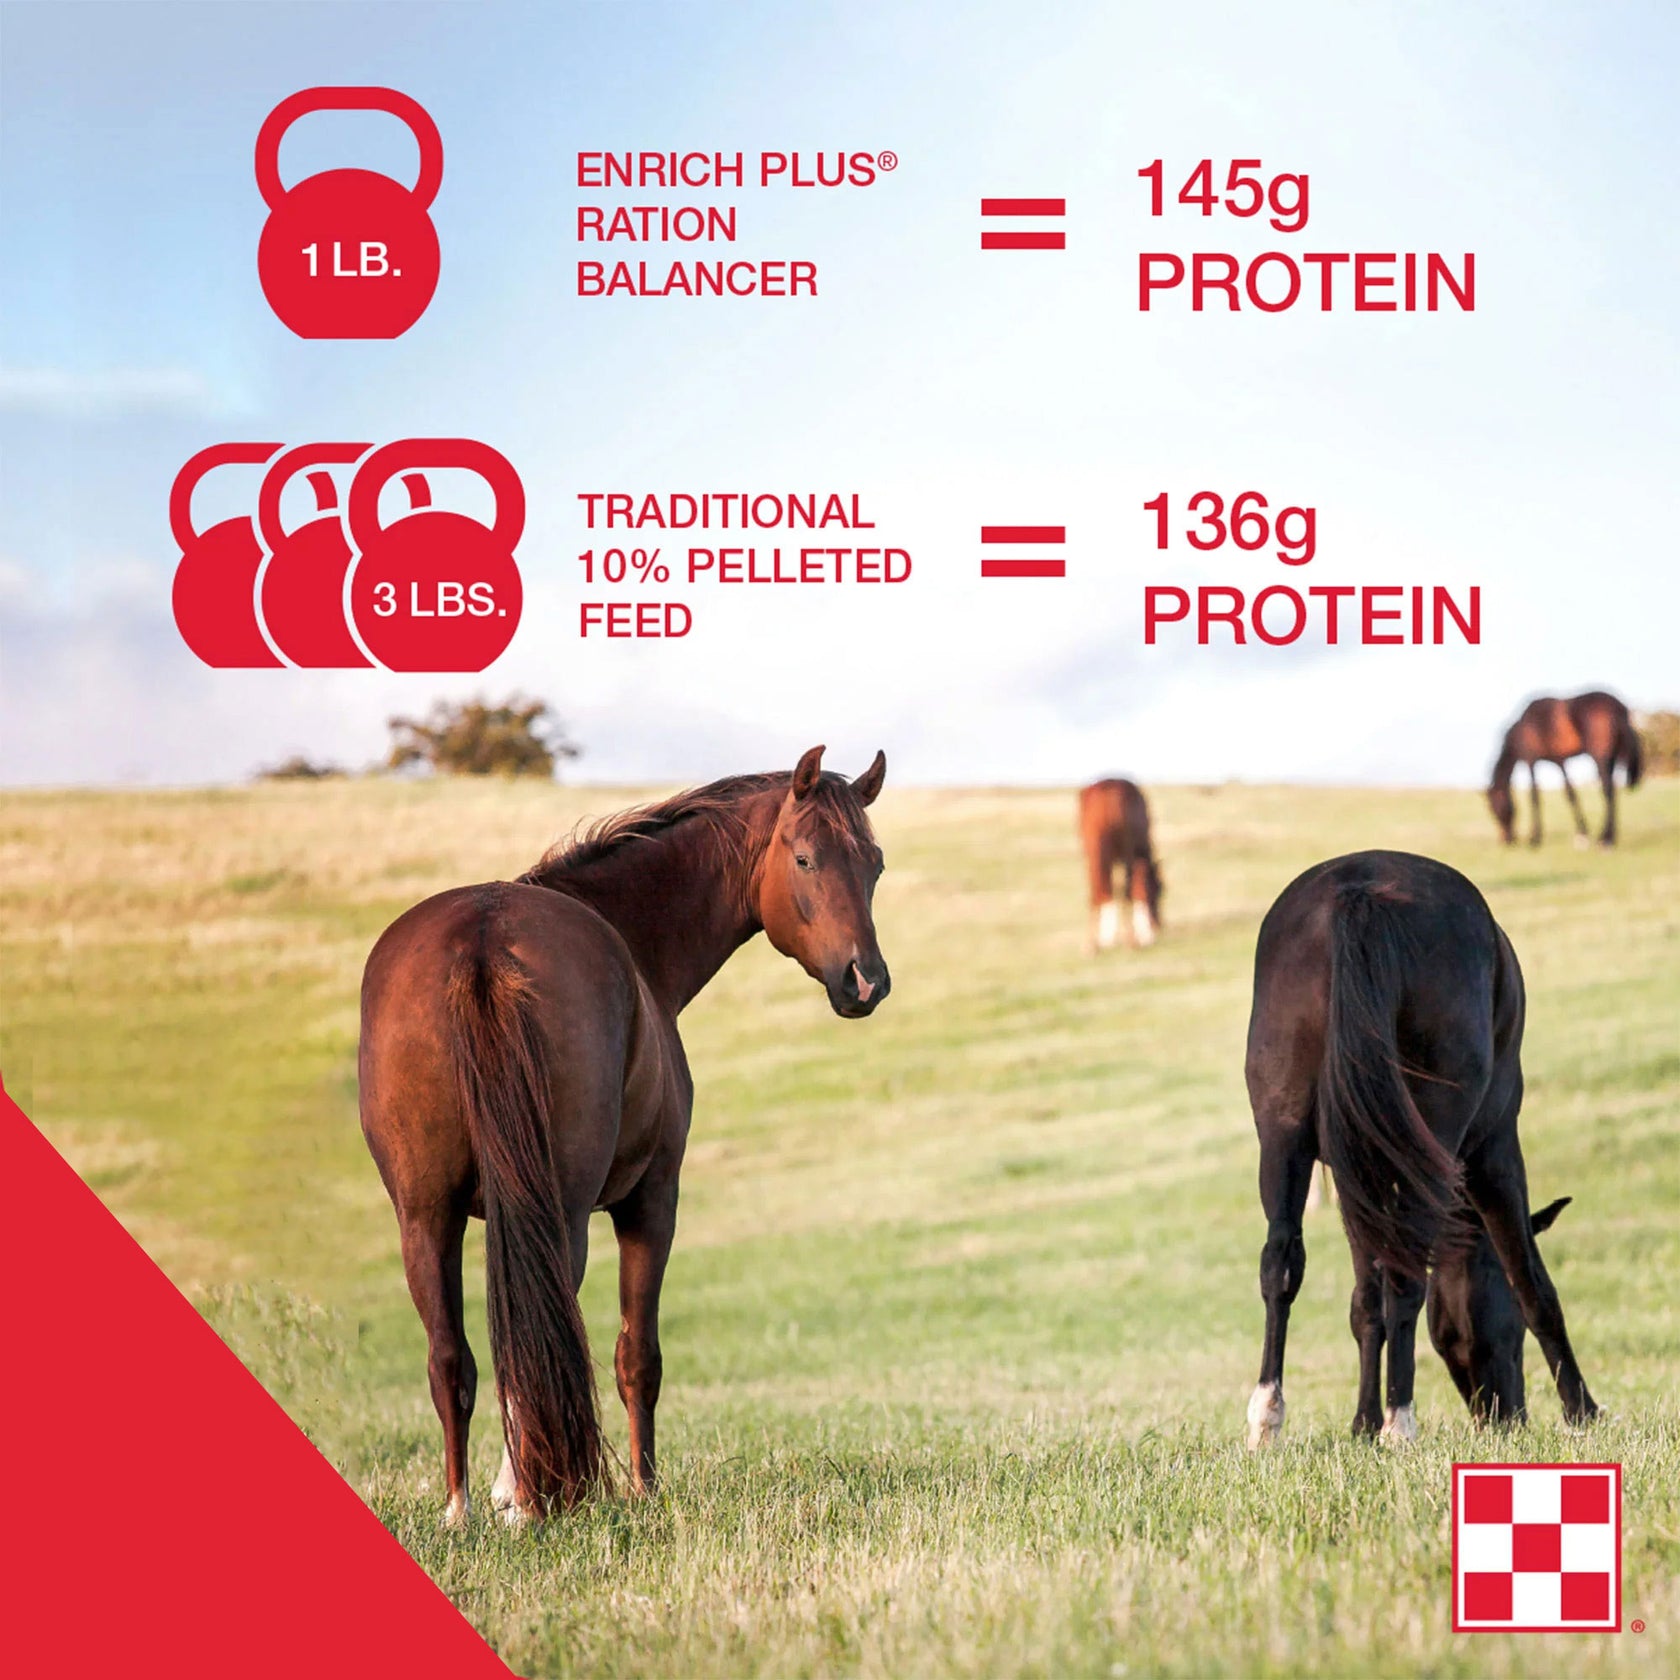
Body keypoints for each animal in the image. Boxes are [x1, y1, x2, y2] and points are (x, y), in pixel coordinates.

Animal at [358, 746, 890, 1527]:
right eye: (804, 859)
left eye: (874, 864)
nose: (866, 981)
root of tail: (481, 941)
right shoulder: (652, 1200)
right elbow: (638, 1357)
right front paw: (641, 1486)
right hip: (562, 1210)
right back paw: (530, 1498)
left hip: (423, 1215)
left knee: (452, 1356)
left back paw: (464, 1507)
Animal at [1077, 779, 1163, 951]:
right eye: (1159, 890)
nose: (1158, 925)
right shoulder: (1135, 858)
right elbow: (1134, 889)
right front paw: (1143, 937)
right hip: (1124, 854)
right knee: (1125, 891)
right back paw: (1129, 940)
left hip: (1094, 854)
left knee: (1096, 890)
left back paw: (1091, 945)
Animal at [1487, 690, 1642, 848]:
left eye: (1494, 808)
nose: (1506, 840)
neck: (1523, 728)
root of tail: (1619, 708)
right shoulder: (1559, 761)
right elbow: (1570, 794)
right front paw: (1582, 834)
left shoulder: (1531, 761)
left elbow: (1534, 796)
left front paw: (1535, 839)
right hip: (1611, 759)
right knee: (1613, 792)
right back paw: (1610, 837)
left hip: (1601, 758)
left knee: (1608, 791)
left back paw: (1606, 839)